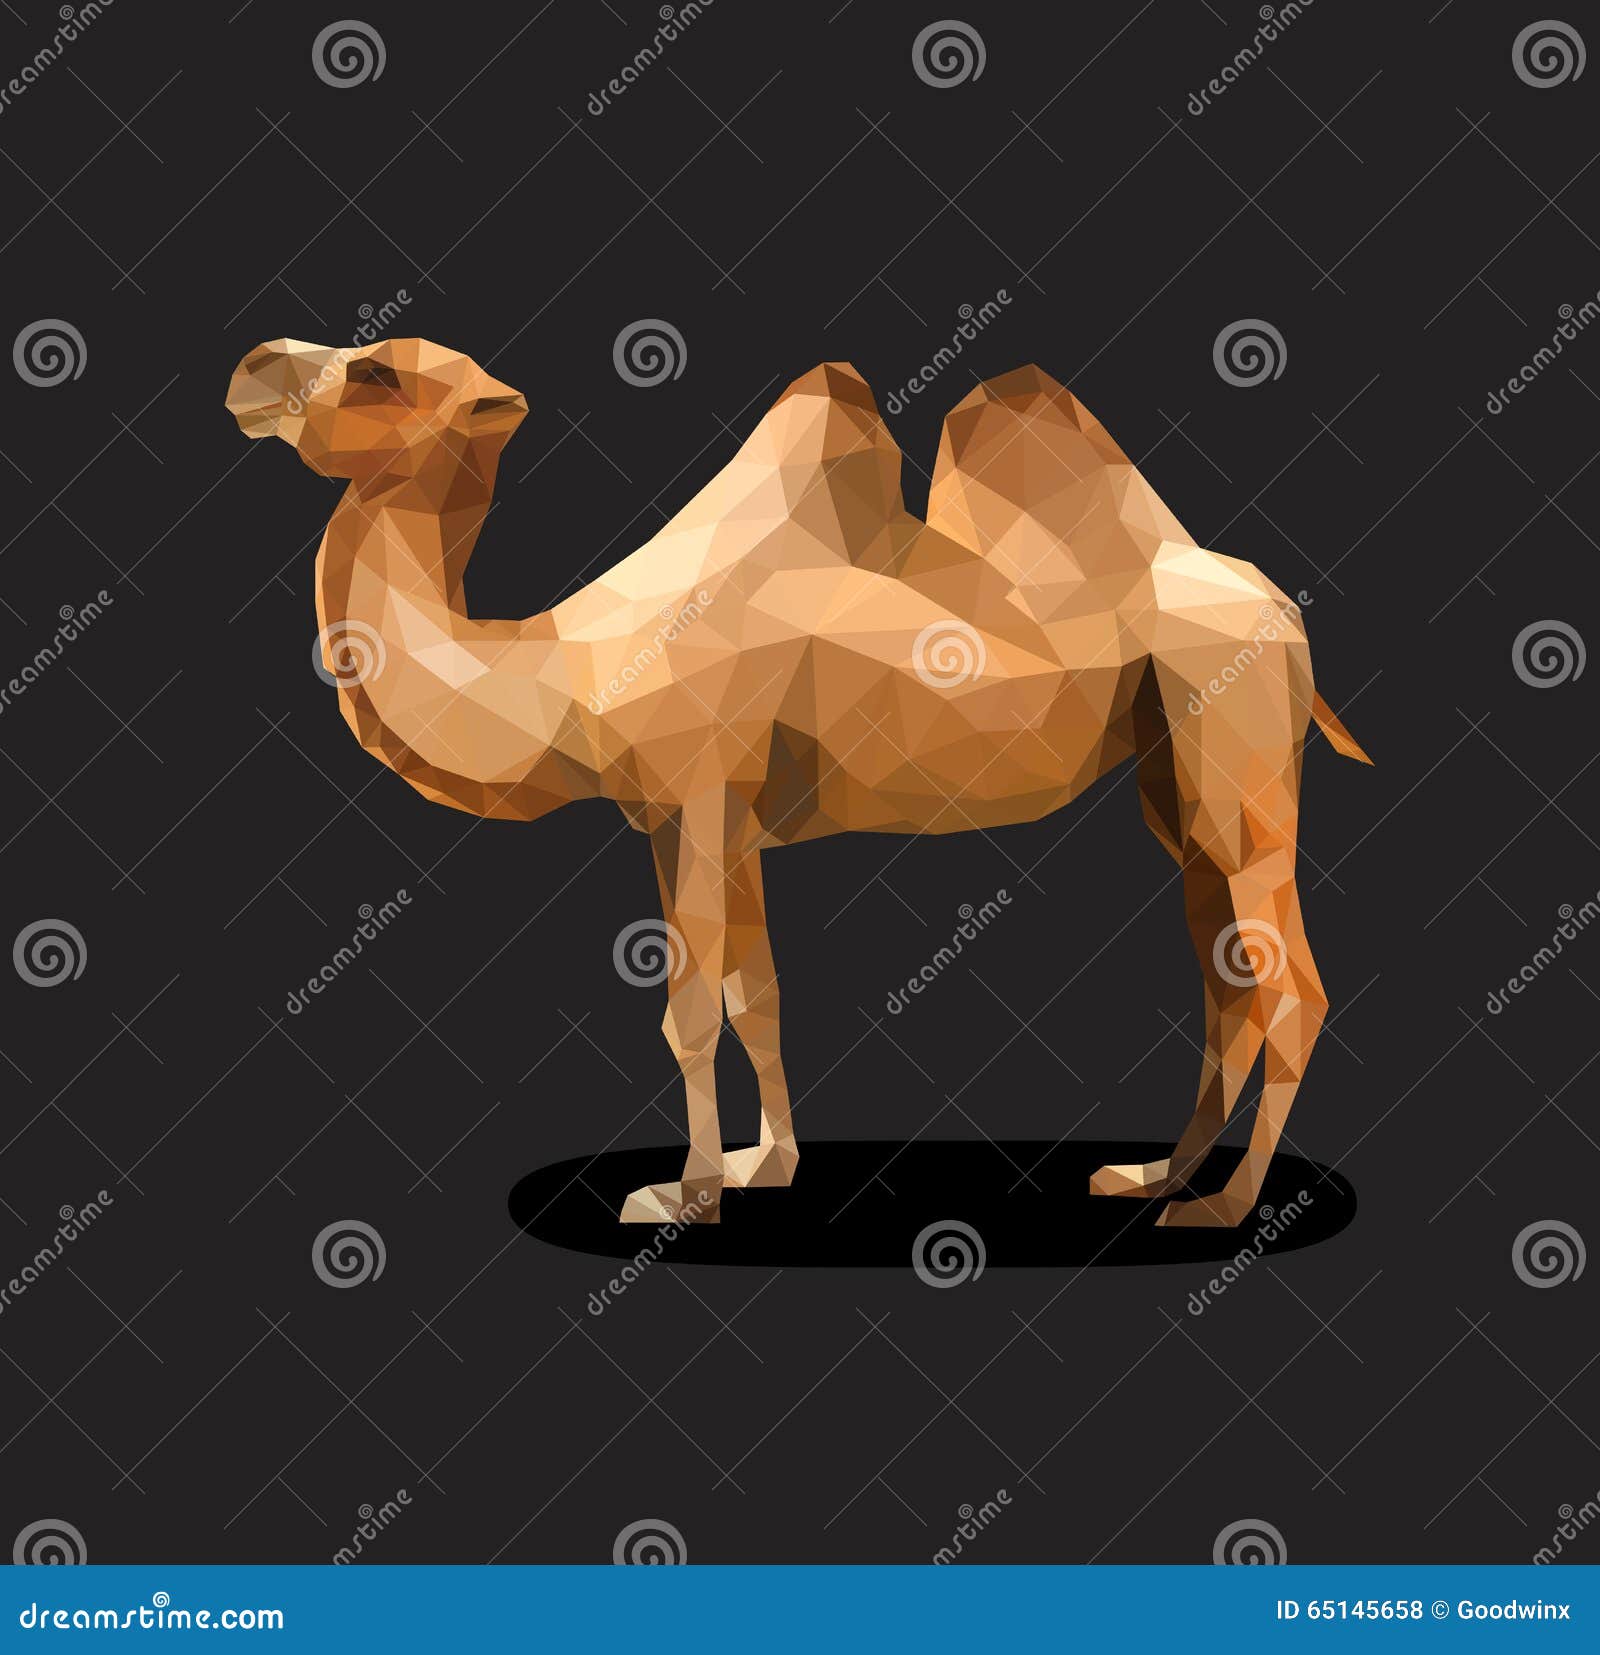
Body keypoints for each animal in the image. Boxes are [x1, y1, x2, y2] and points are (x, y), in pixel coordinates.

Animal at [224, 337, 1370, 1229]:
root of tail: (1287, 614)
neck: (571, 675)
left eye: (377, 369)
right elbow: (756, 990)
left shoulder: (695, 787)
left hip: (1233, 729)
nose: (253, 369)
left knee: (1288, 984)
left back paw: (1225, 1206)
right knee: (1225, 974)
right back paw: (1155, 1174)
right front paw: (762, 1167)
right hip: (1171, 766)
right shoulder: (702, 816)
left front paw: (684, 1194)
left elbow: (688, 1004)